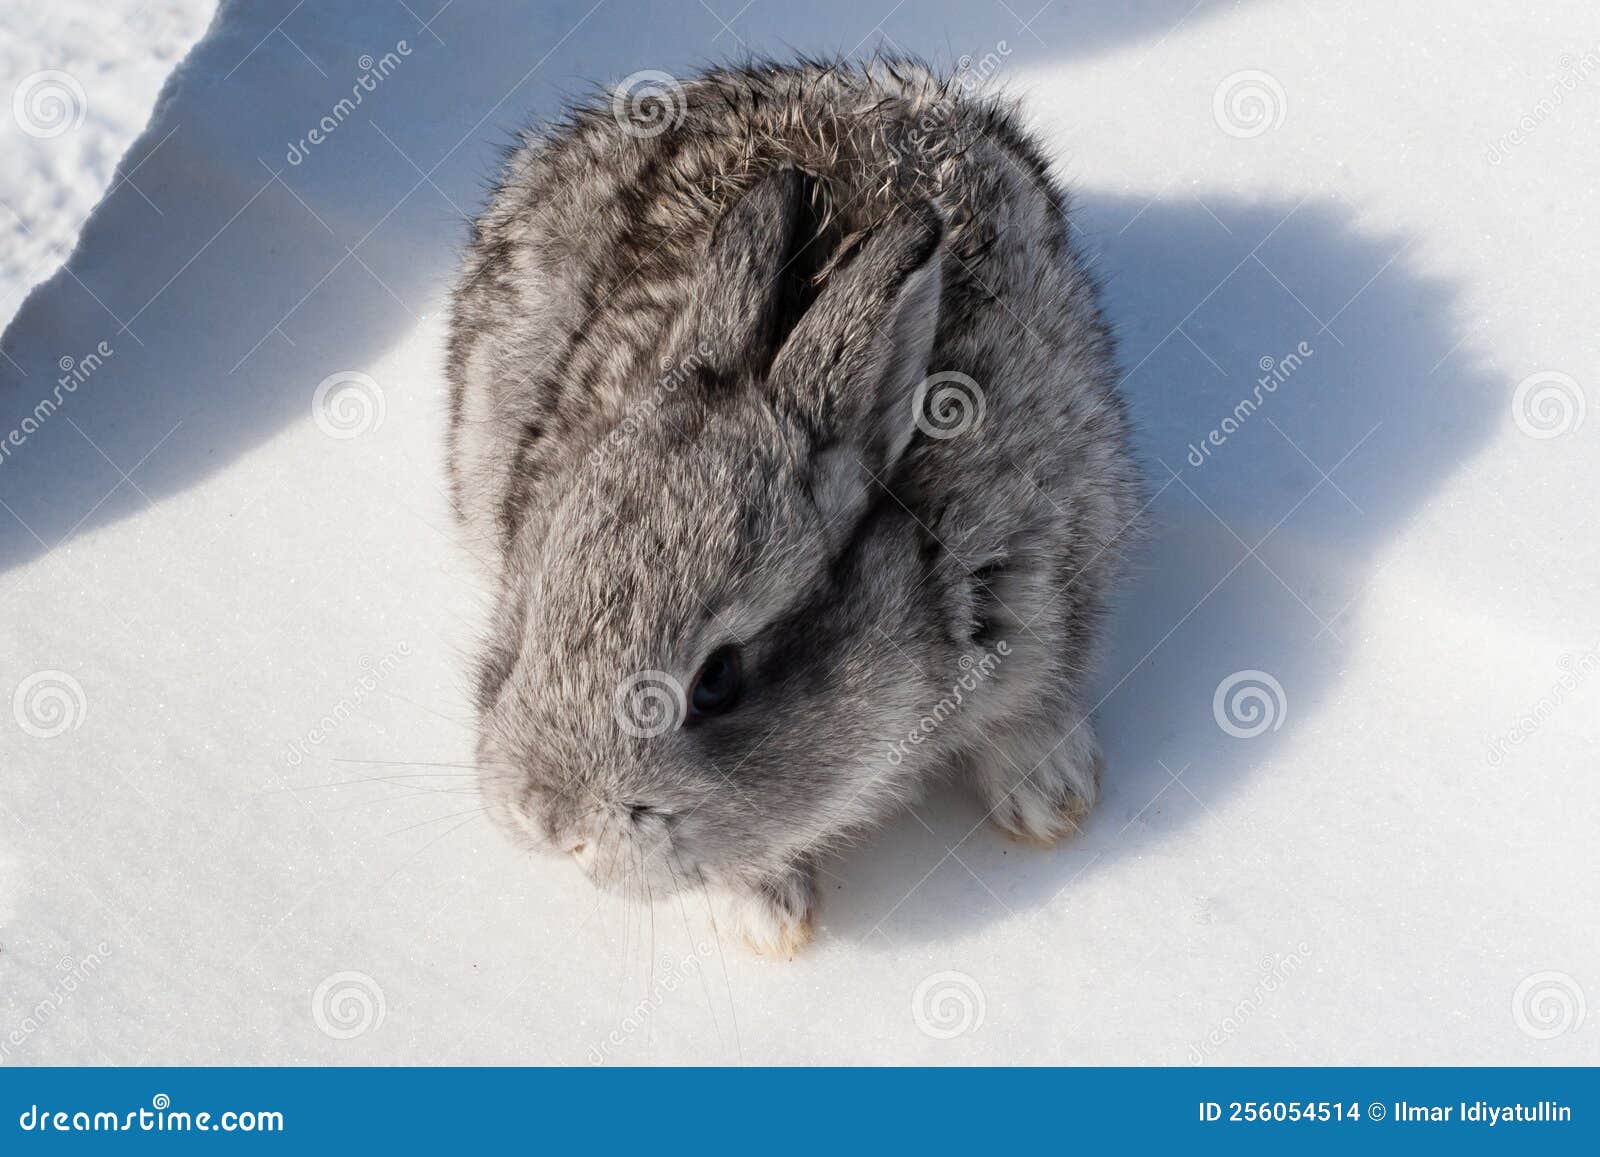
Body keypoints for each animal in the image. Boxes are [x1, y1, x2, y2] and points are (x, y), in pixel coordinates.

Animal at [446, 59, 1143, 955]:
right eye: (533, 612)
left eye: (717, 681)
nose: (551, 819)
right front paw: (765, 919)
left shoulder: (1042, 577)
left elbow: (1031, 702)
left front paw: (1053, 797)